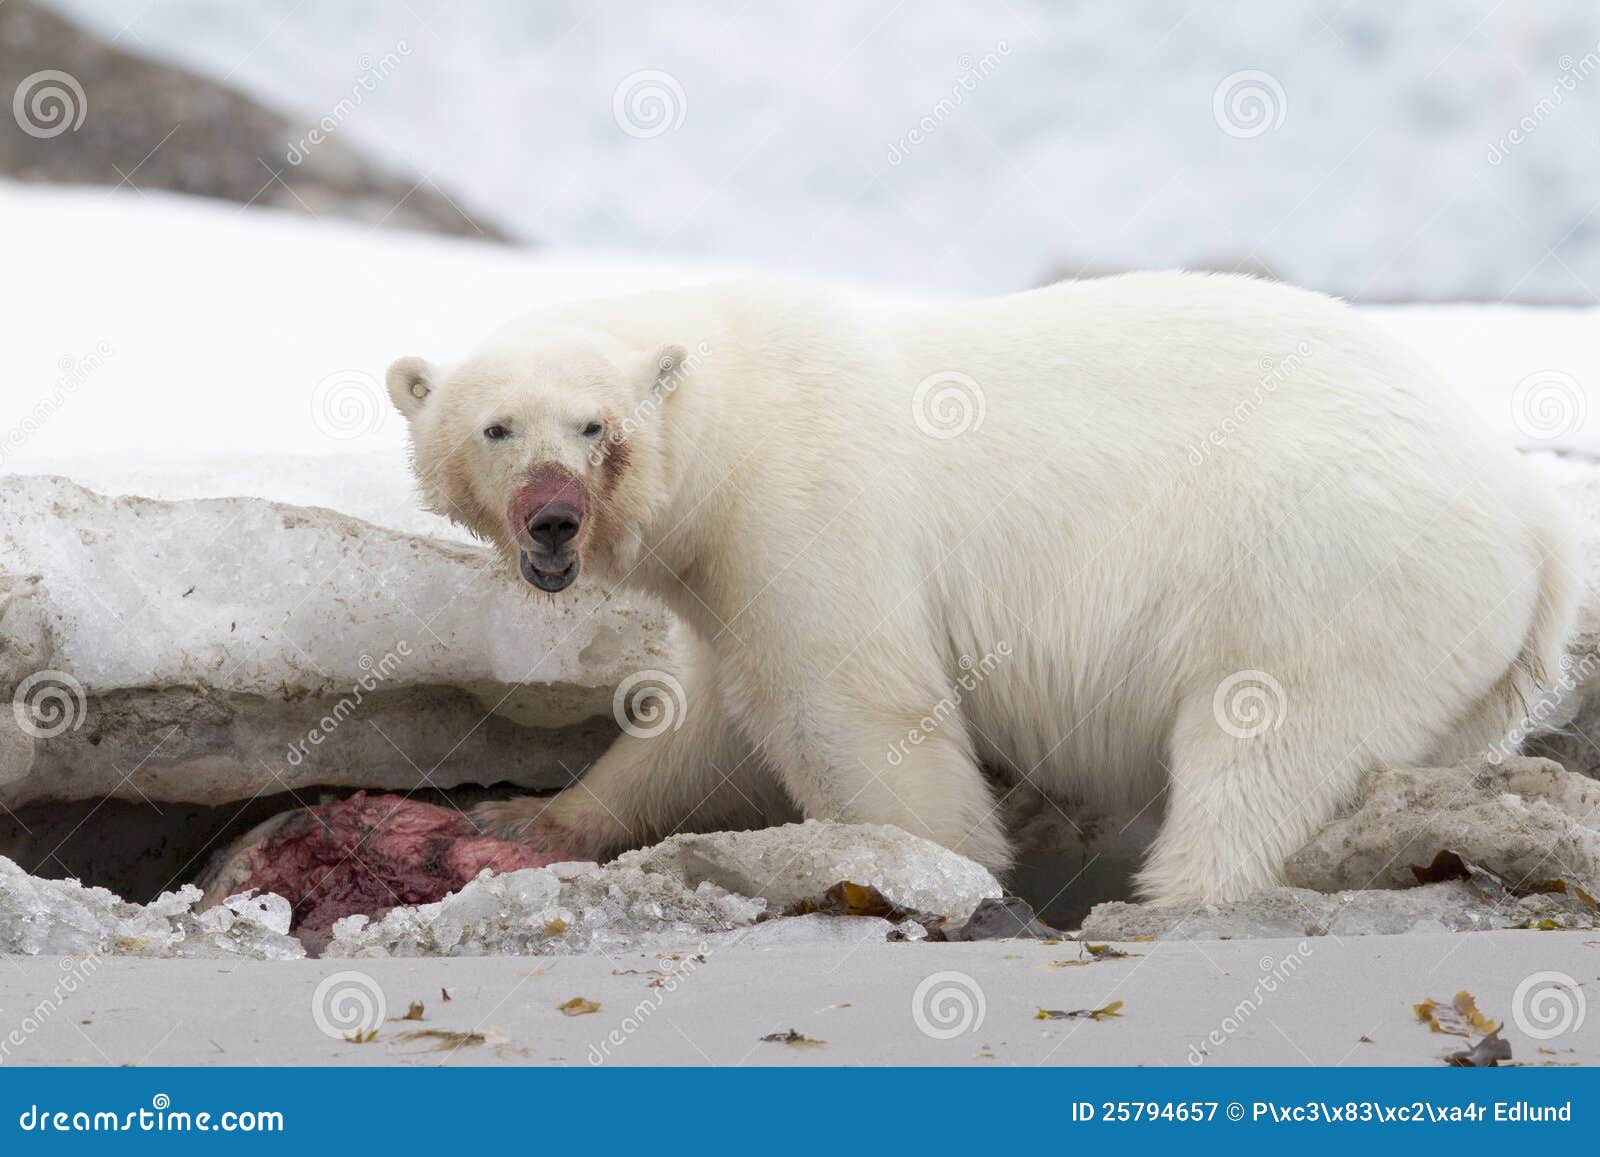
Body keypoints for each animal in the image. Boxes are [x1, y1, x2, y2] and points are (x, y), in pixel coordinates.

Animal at [386, 273, 1578, 904]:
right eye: (496, 428)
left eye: (594, 427)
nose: (552, 517)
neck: (747, 403)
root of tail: (1532, 511)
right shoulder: (726, 573)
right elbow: (701, 725)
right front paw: (528, 820)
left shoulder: (806, 515)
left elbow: (855, 708)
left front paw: (935, 862)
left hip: (1328, 569)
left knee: (1266, 748)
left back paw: (1175, 894)